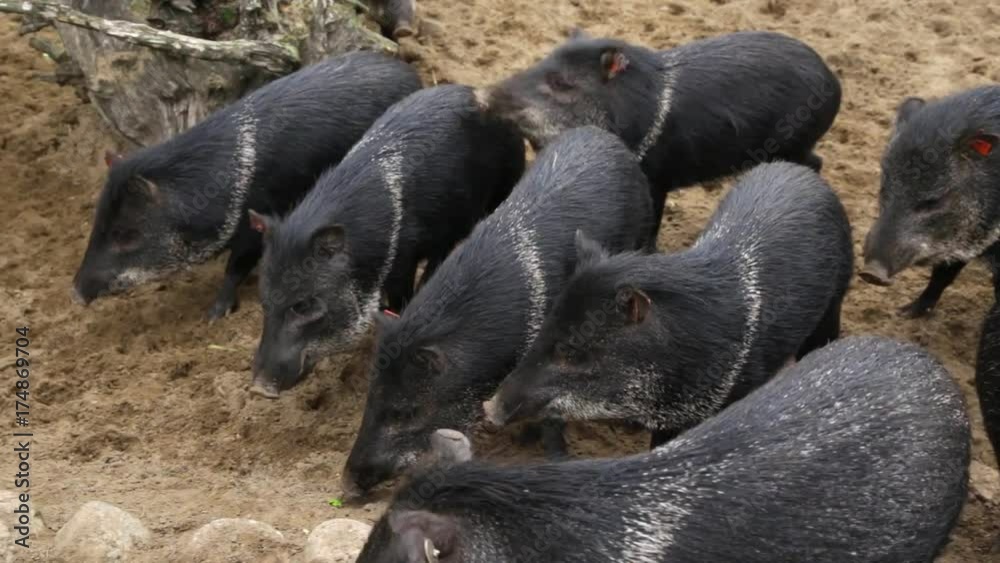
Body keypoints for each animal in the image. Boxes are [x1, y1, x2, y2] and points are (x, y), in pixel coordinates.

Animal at [72, 52, 422, 320]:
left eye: (126, 236)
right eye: (97, 223)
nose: (74, 293)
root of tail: (413, 75)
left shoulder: (255, 222)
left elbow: (235, 267)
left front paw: (214, 316)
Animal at [341, 126, 655, 497]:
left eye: (405, 413)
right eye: (368, 399)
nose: (346, 486)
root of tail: (604, 135)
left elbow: (550, 410)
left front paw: (551, 454)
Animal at [480, 30, 841, 239]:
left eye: (561, 83)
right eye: (540, 63)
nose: (483, 94)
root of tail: (834, 83)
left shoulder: (655, 175)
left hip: (794, 143)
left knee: (816, 161)